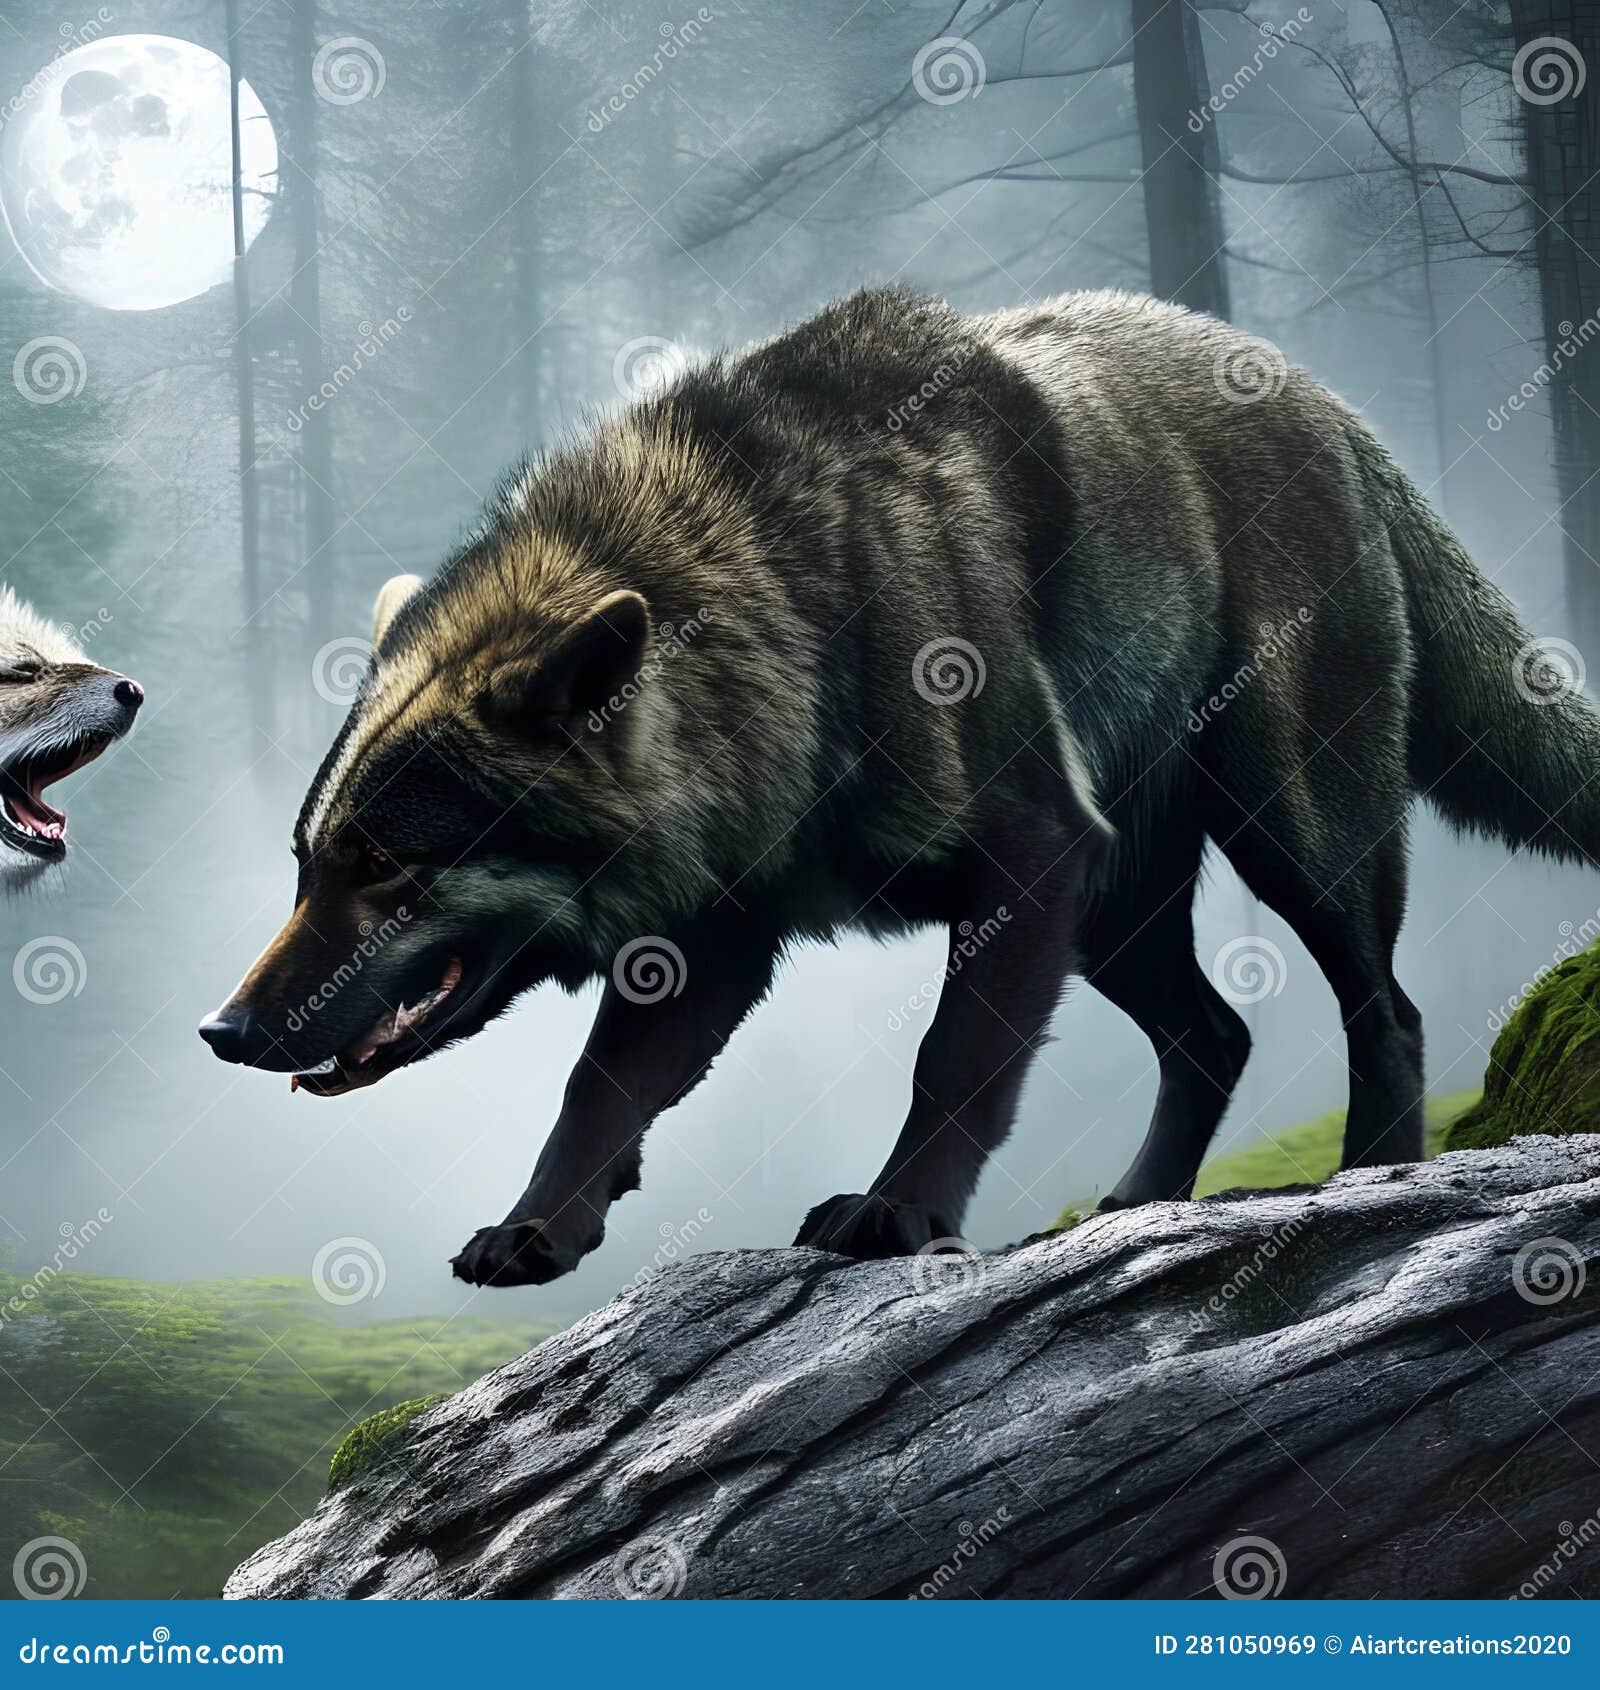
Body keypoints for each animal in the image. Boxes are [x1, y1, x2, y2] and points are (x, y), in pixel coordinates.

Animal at [199, 285, 1600, 1286]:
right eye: (306, 863)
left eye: (388, 862)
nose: (222, 1033)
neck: (781, 612)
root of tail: (1328, 404)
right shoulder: (709, 943)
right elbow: (593, 1091)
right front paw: (541, 1226)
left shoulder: (1028, 856)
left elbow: (953, 1058)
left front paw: (897, 1210)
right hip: (1116, 912)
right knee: (1216, 1033)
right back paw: (1134, 1208)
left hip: (1287, 832)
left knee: (1384, 1008)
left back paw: (1372, 1179)